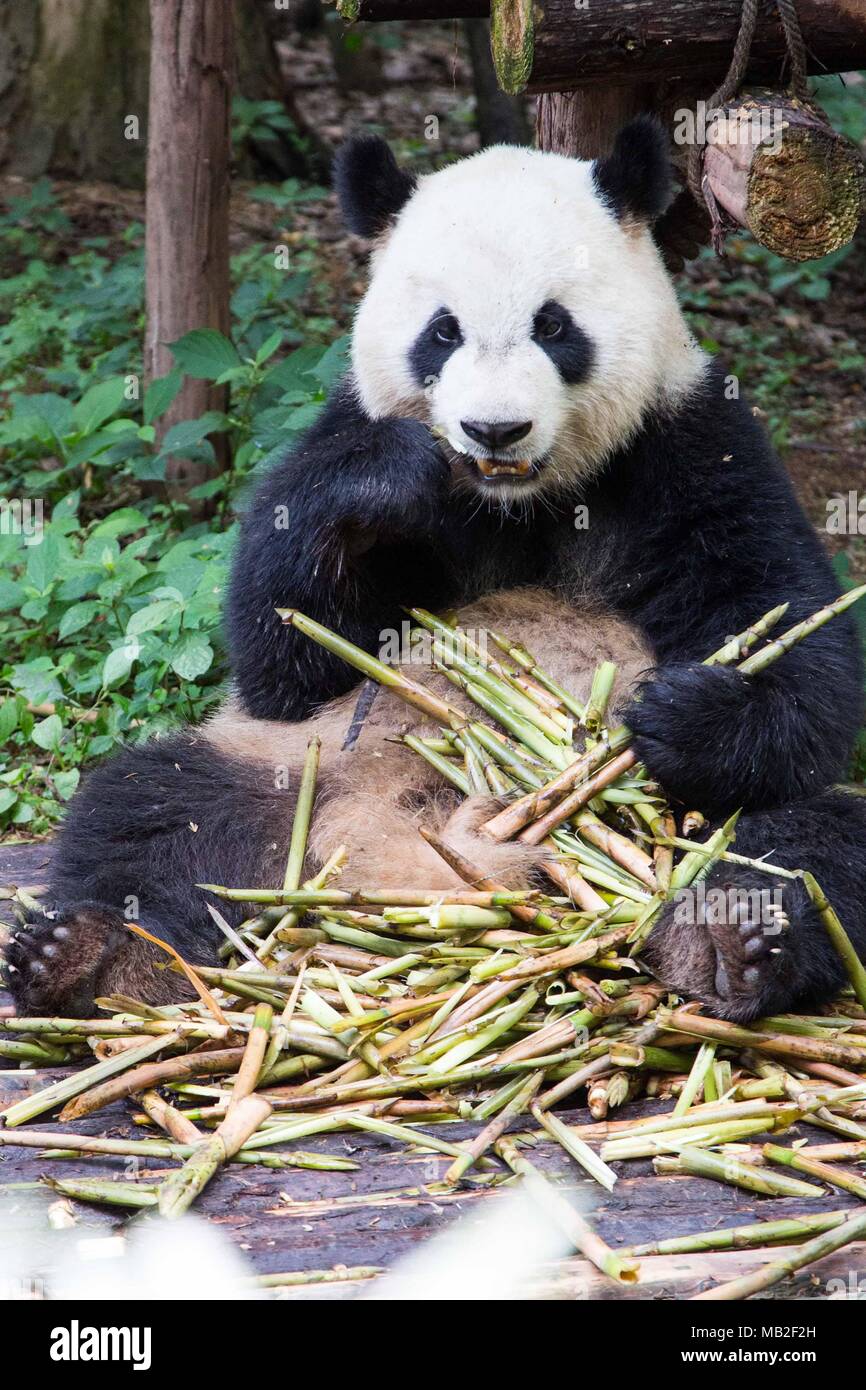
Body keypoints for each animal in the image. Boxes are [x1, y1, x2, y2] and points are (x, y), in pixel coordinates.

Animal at [5, 117, 866, 1025]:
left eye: (554, 325)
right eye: (442, 331)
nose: (495, 429)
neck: (519, 500)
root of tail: (398, 841)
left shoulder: (688, 445)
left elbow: (790, 643)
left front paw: (679, 710)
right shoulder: (345, 434)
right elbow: (285, 654)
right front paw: (389, 481)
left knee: (804, 844)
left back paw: (731, 939)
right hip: (287, 764)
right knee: (149, 808)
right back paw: (85, 955)